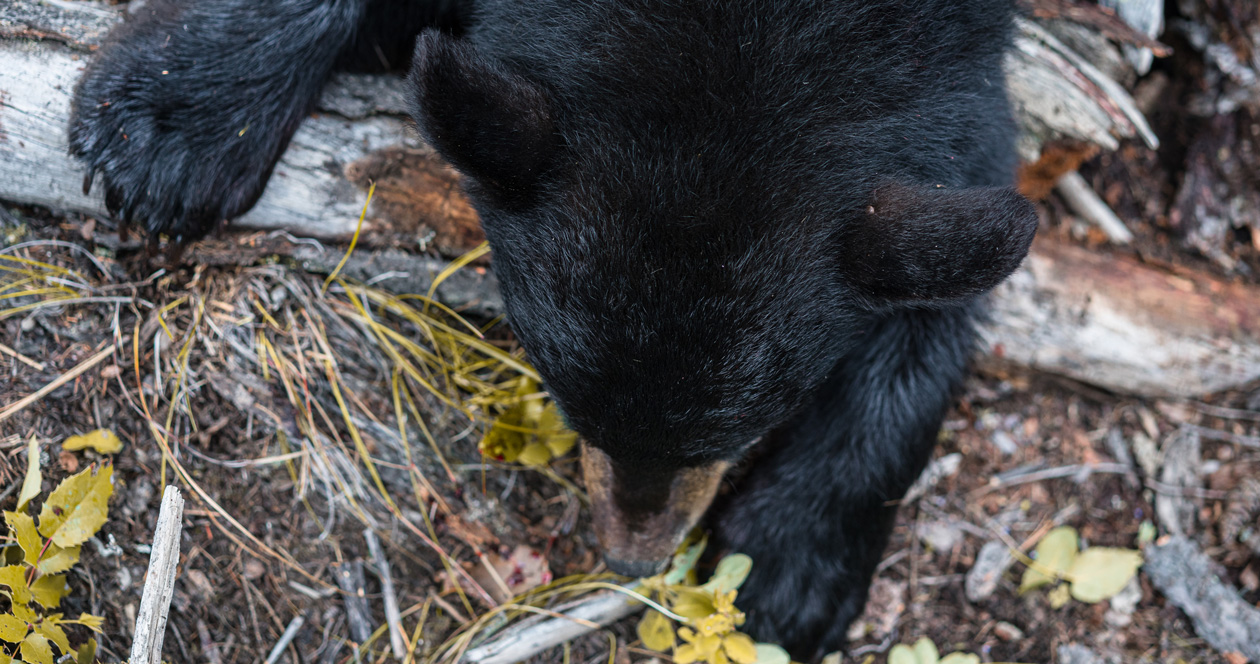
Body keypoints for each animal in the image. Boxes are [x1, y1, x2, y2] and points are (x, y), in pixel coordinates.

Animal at [68, 0, 1038, 660]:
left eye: (745, 430)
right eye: (566, 401)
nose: (629, 556)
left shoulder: (953, 94)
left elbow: (938, 312)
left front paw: (794, 560)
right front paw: (173, 120)